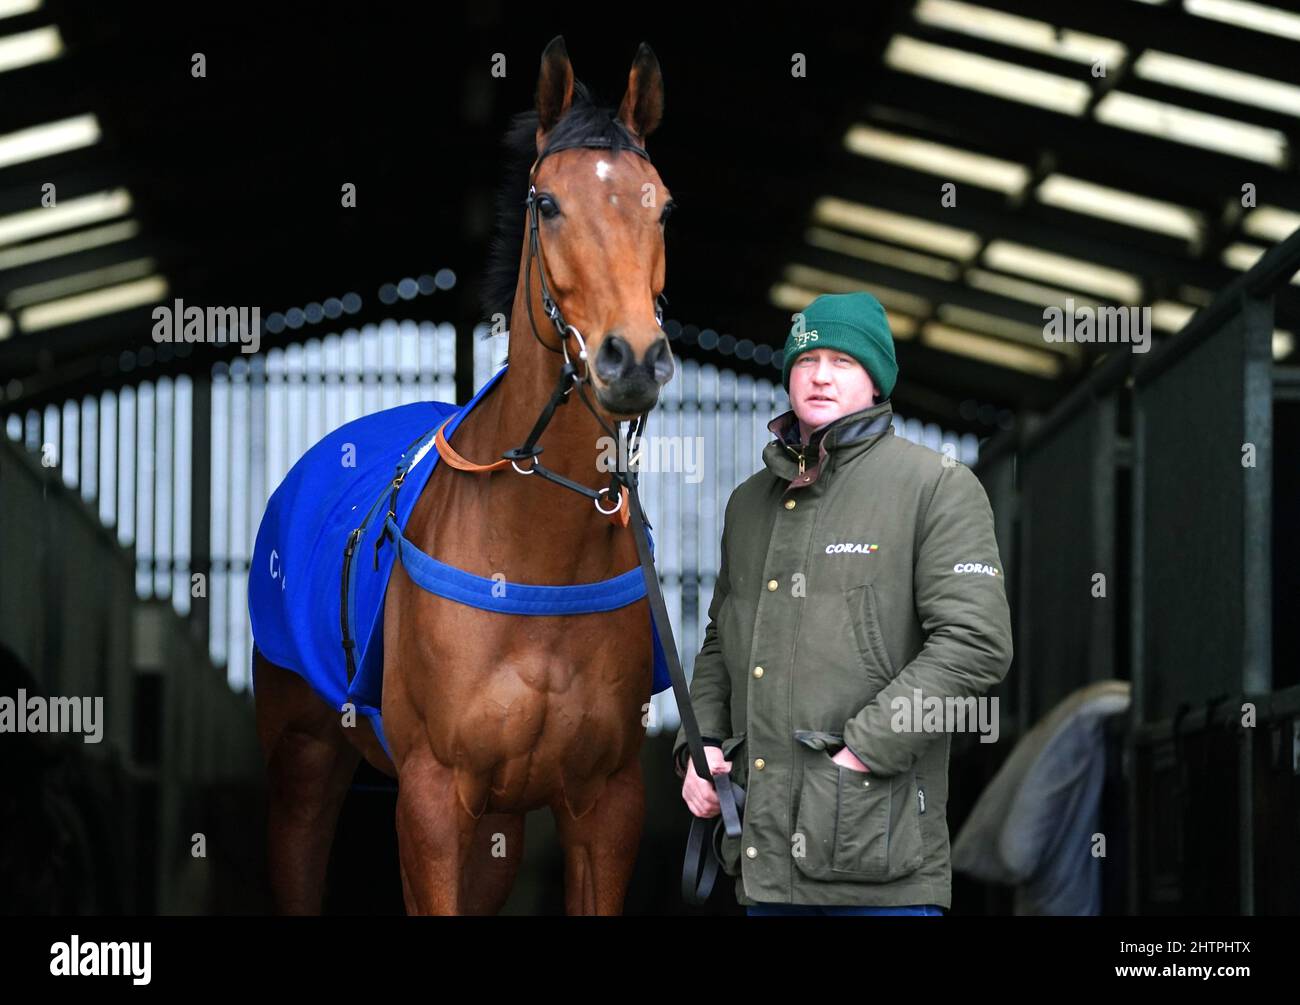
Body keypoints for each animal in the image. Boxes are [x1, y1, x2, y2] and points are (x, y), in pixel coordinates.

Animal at [251, 36, 676, 915]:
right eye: (548, 202)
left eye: (662, 207)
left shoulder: (606, 802)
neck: (538, 556)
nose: (632, 359)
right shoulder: (431, 797)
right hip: (303, 762)